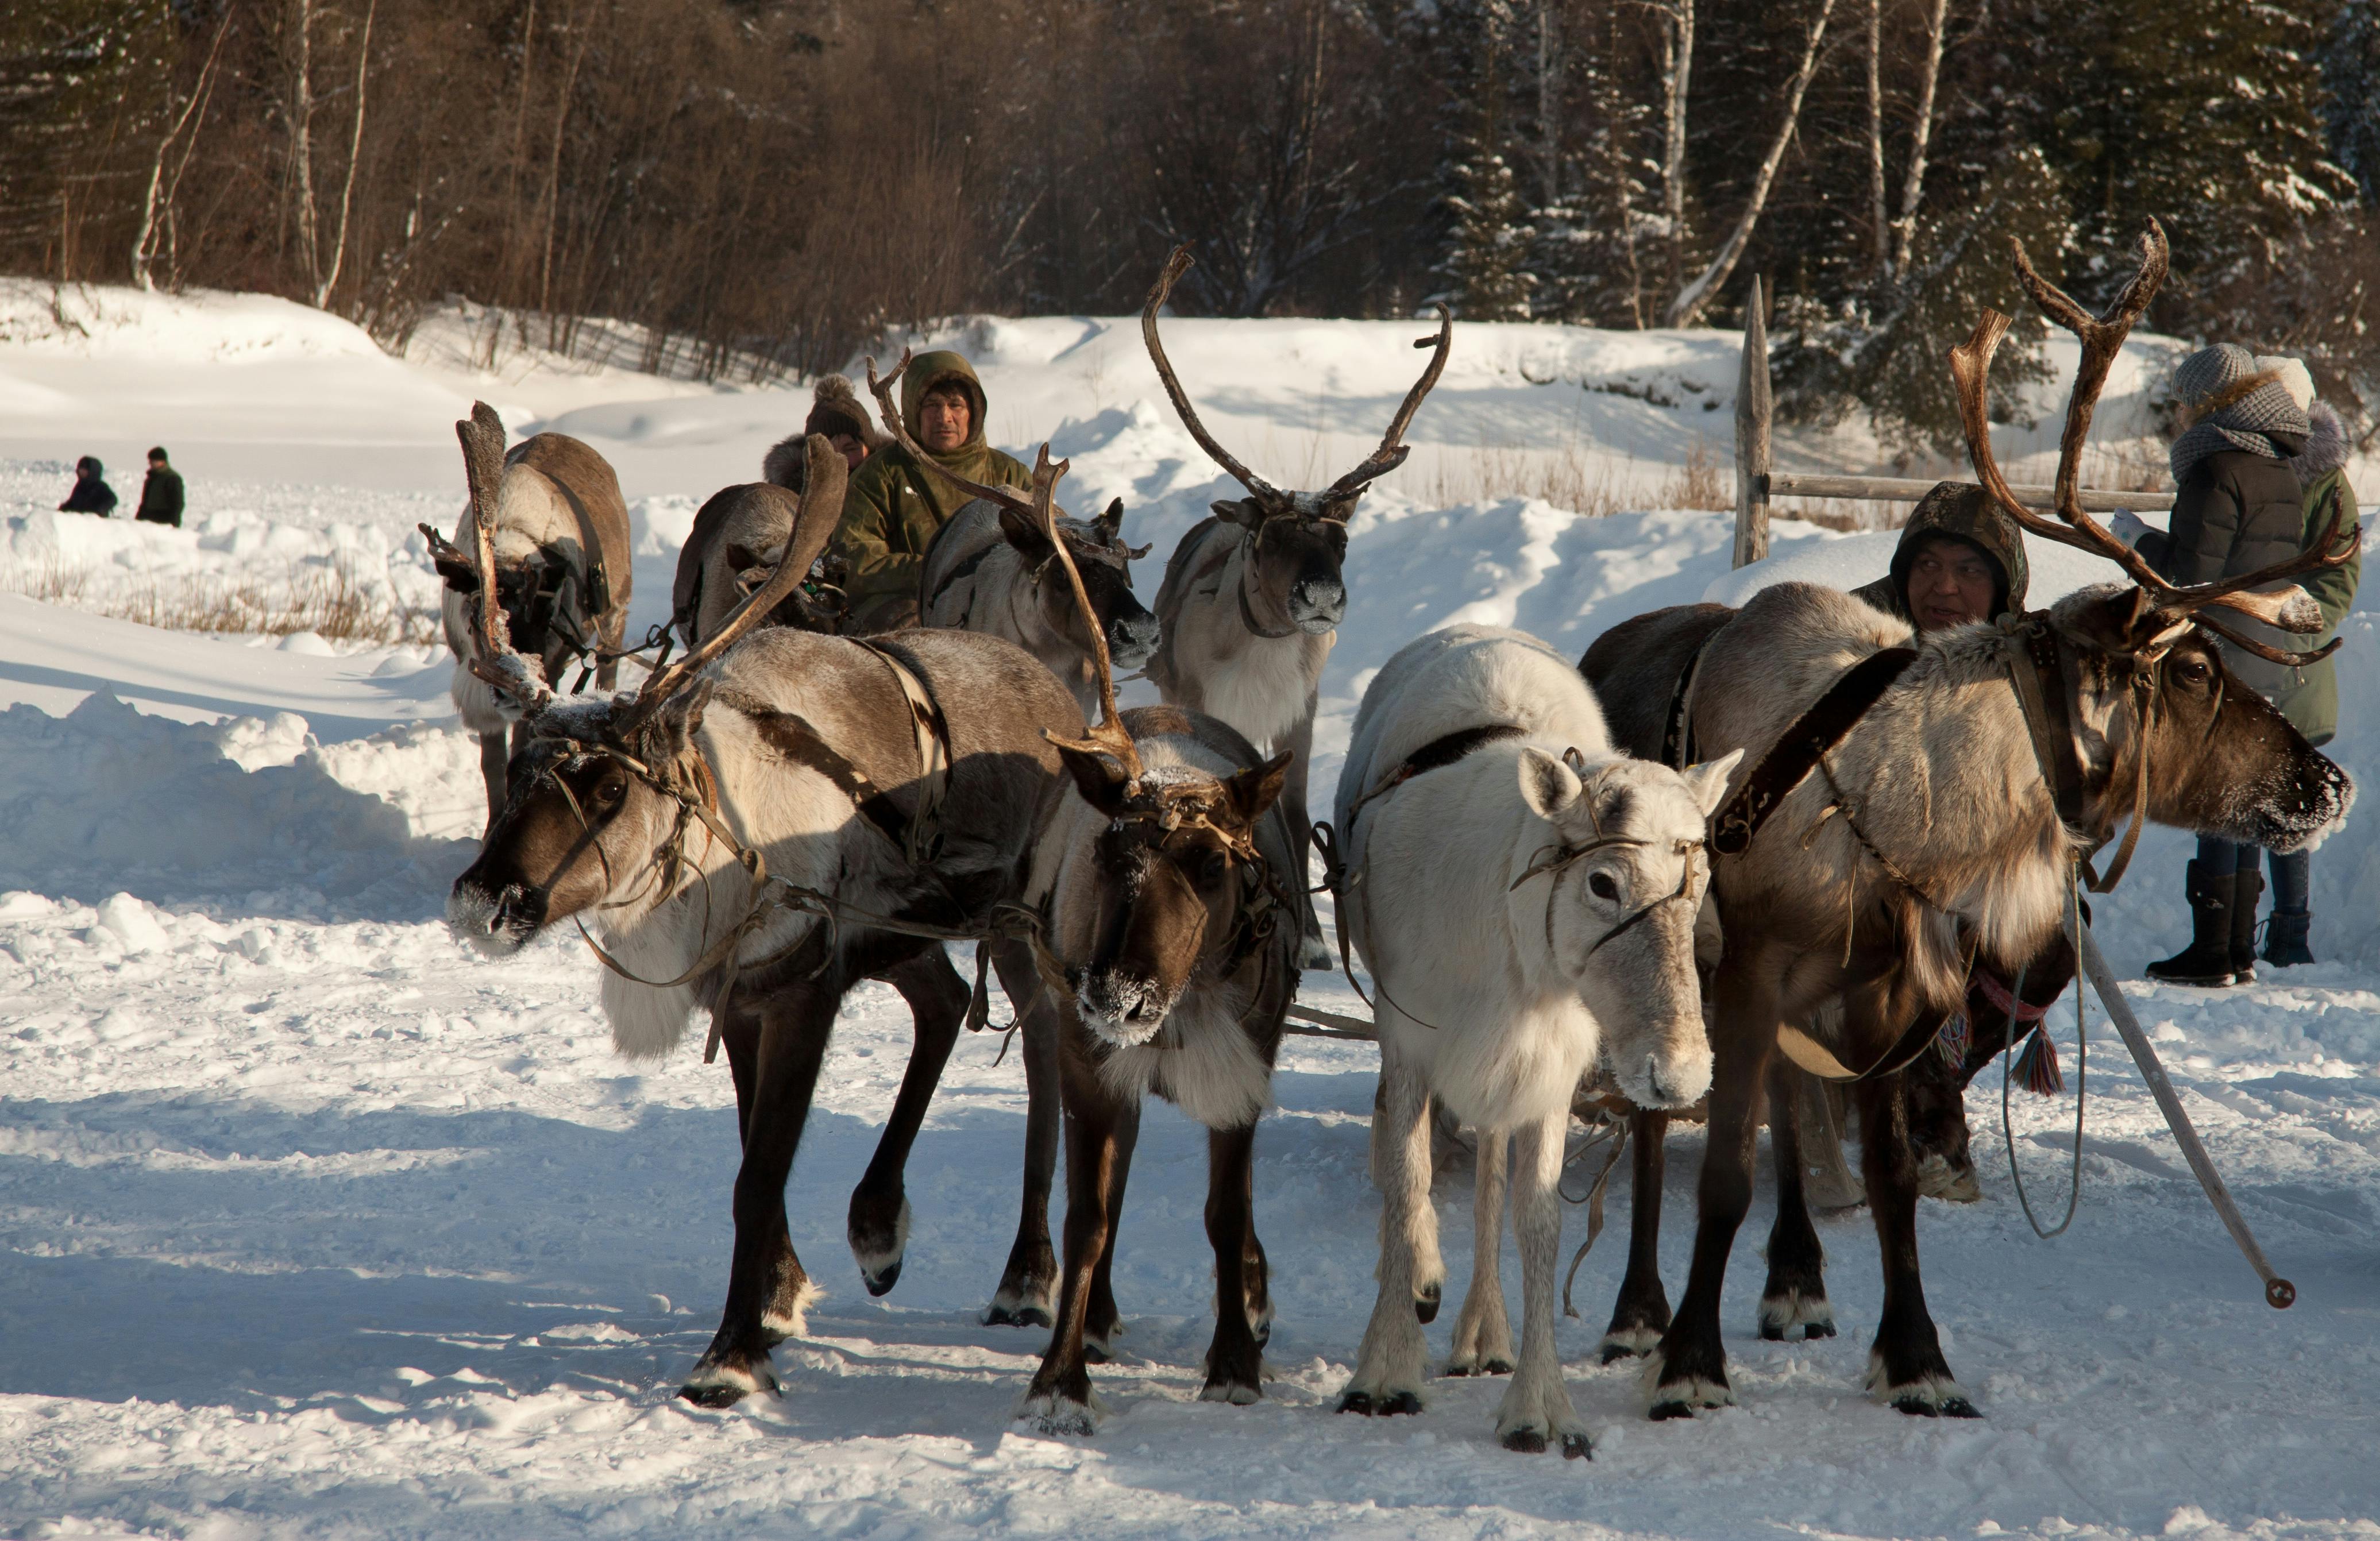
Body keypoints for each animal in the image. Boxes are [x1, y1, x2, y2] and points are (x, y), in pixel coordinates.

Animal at [420, 430, 632, 831]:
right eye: (476, 616)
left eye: (545, 614)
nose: (510, 693)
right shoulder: (476, 681)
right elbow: (491, 764)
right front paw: (490, 827)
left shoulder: (547, 669)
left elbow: (518, 749)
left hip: (616, 614)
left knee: (608, 667)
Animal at [1010, 474, 1304, 1437]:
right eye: (1109, 851)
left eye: (1212, 863)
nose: (1116, 993)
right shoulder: (1086, 1053)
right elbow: (1088, 1211)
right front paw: (1059, 1376)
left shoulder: (1250, 1052)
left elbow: (1226, 1210)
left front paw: (1234, 1360)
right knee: (1117, 1168)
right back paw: (1098, 1316)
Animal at [1139, 247, 1452, 968]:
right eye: (1272, 538)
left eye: (1342, 540)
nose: (1323, 598)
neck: (1264, 654)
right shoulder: (1205, 701)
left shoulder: (1299, 712)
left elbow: (1297, 810)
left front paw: (1311, 939)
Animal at [1328, 624, 1736, 1456]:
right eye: (1602, 881)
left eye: (1700, 877)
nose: (1679, 1074)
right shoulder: (1407, 1037)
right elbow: (1408, 1180)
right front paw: (1383, 1370)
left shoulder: (1544, 1068)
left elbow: (1536, 1219)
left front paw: (1541, 1407)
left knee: (1489, 1174)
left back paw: (1485, 1331)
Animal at [1578, 220, 2355, 1422]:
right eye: (2188, 670)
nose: (2326, 784)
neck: (1908, 810)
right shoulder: (1750, 969)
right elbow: (1720, 1170)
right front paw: (1689, 1360)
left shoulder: (1888, 992)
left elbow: (1890, 1175)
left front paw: (1914, 1357)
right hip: (1672, 953)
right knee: (1656, 1112)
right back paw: (1637, 1312)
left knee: (1792, 1114)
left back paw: (1796, 1281)